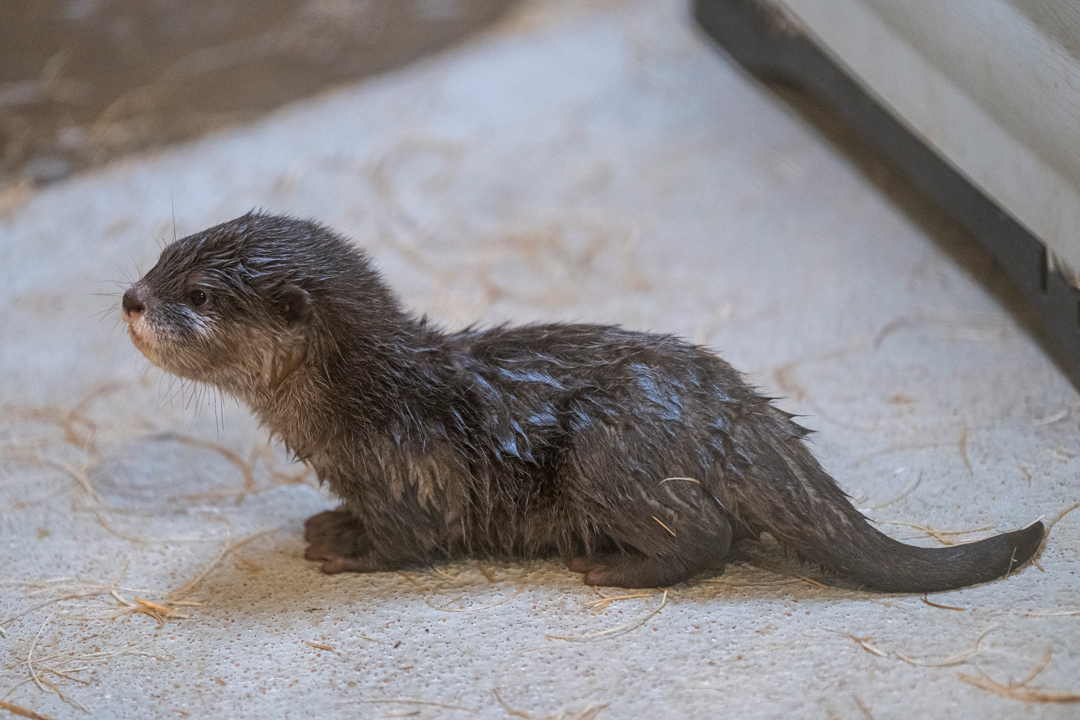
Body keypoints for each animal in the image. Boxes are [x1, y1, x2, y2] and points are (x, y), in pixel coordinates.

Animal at [120, 212, 1043, 591]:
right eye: (162, 257)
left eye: (197, 297)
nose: (131, 298)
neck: (363, 400)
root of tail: (737, 418)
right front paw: (330, 520)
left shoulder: (412, 468)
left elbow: (411, 535)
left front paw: (346, 548)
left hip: (612, 448)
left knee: (707, 534)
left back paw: (615, 567)